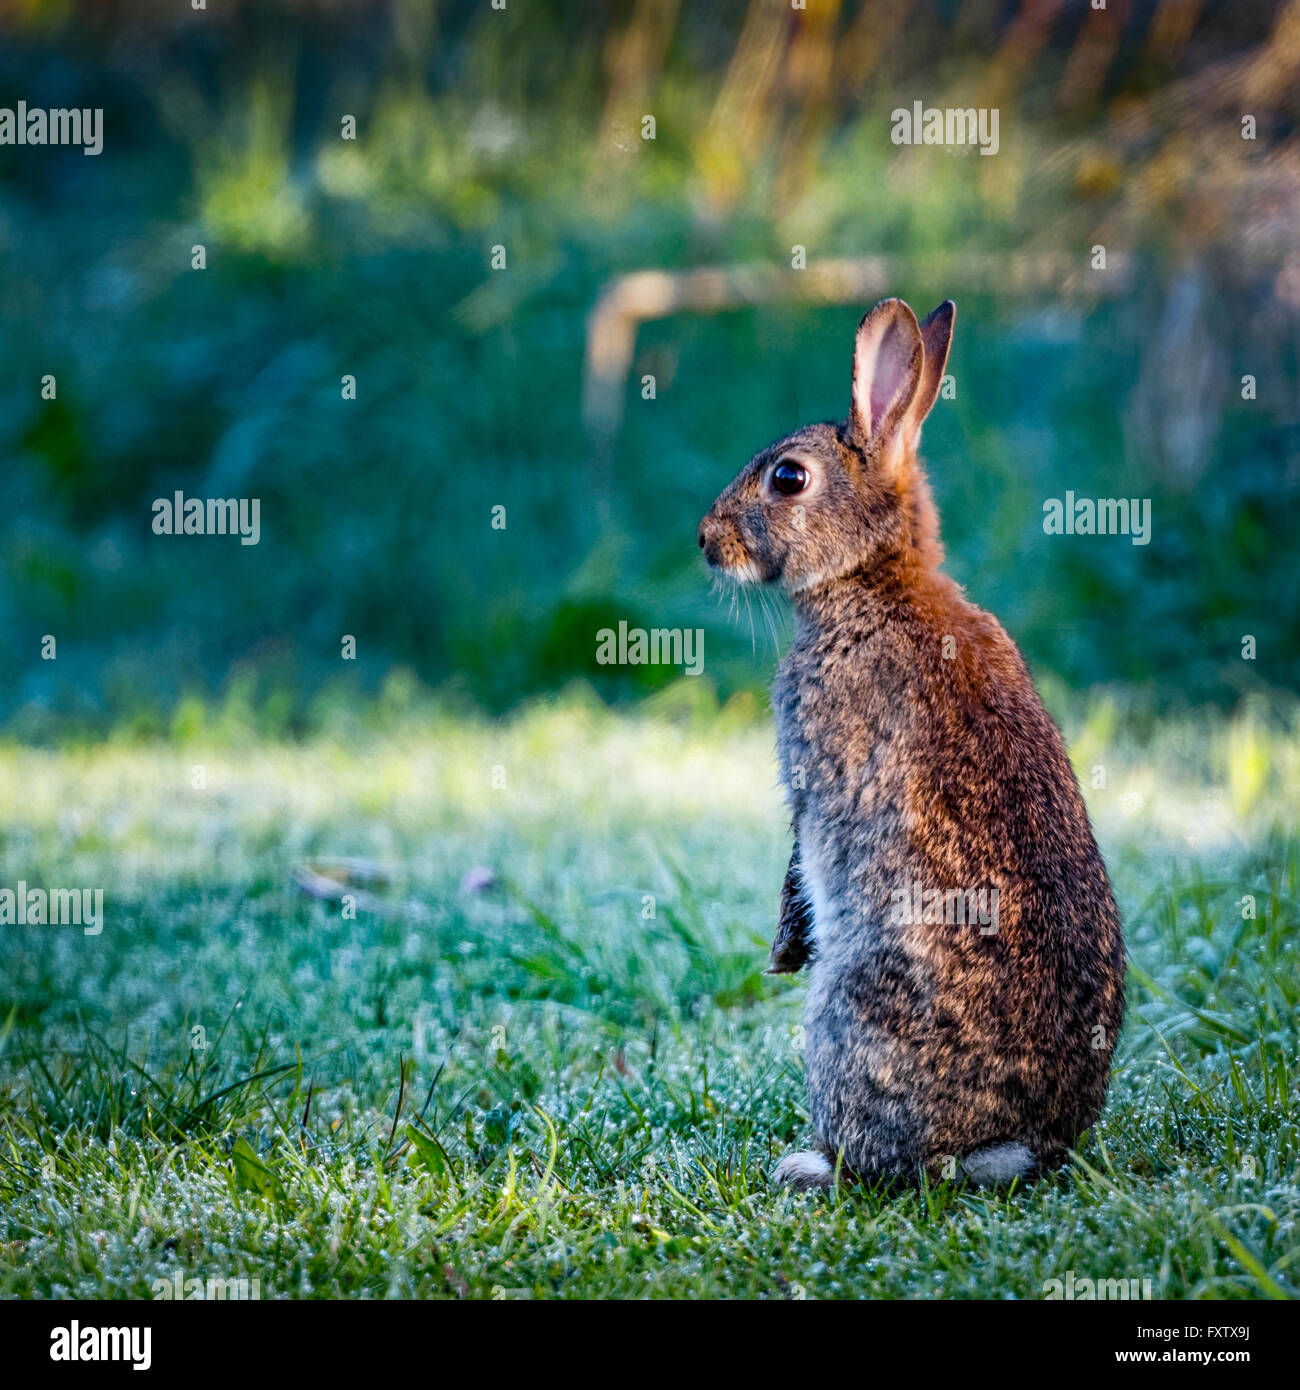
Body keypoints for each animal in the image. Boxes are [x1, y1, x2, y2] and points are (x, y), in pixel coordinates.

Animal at [697, 297, 1125, 1189]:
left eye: (787, 478)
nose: (705, 539)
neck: (873, 580)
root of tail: (1016, 1143)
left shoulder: (813, 775)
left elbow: (798, 851)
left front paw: (784, 946)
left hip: (846, 1008)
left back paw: (808, 1166)